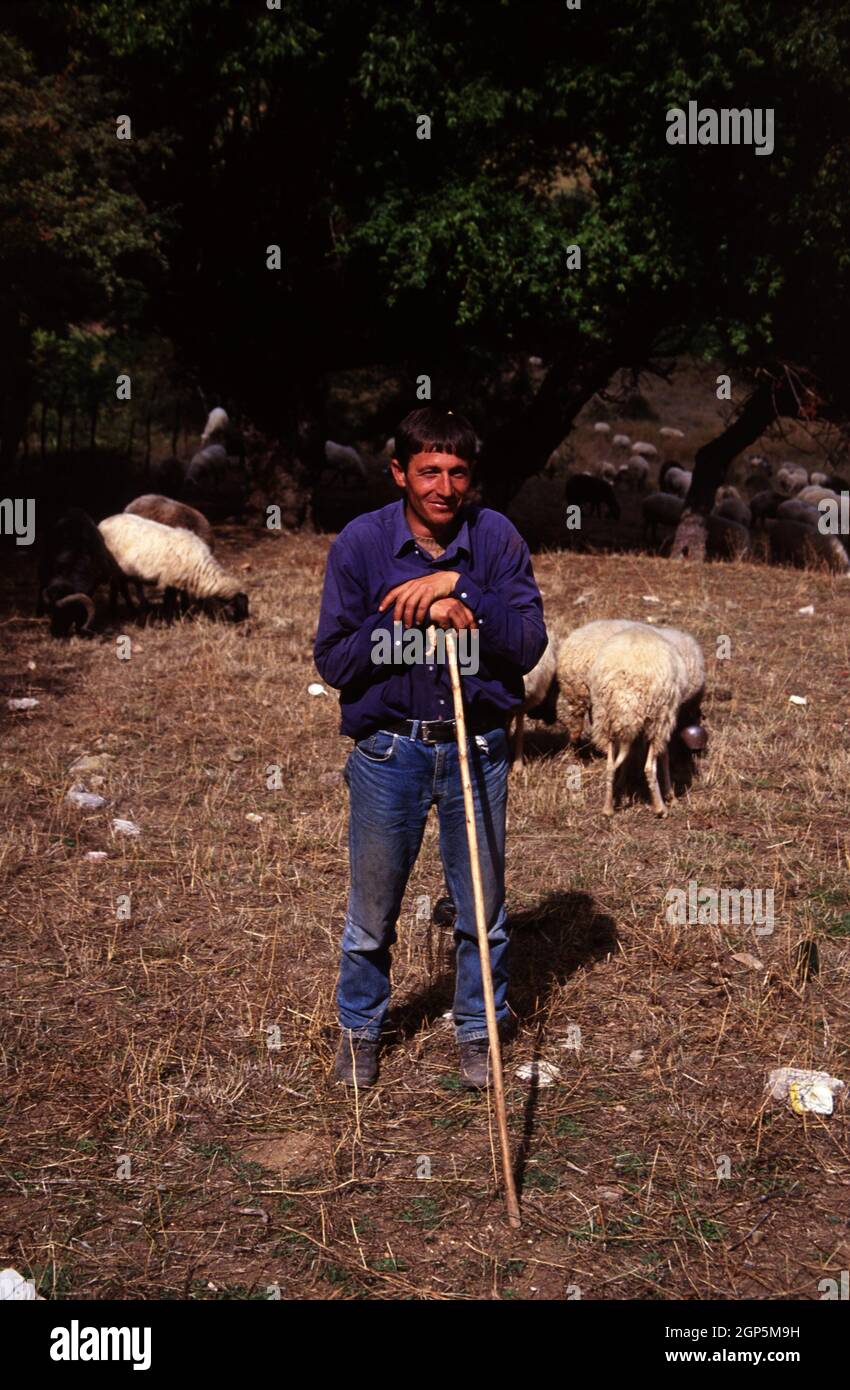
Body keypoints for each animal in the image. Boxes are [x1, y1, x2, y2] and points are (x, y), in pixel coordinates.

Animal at [98, 514, 249, 621]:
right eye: (240, 606)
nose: (246, 624)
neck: (200, 569)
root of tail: (103, 523)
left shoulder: (182, 580)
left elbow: (182, 598)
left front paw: (186, 614)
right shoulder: (170, 578)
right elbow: (169, 600)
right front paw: (169, 620)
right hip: (114, 567)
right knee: (118, 589)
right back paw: (121, 611)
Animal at [588, 625, 689, 817]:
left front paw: (621, 784)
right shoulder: (665, 717)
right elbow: (664, 756)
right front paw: (671, 796)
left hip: (605, 719)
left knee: (610, 765)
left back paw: (608, 808)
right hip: (658, 718)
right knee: (649, 767)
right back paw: (660, 808)